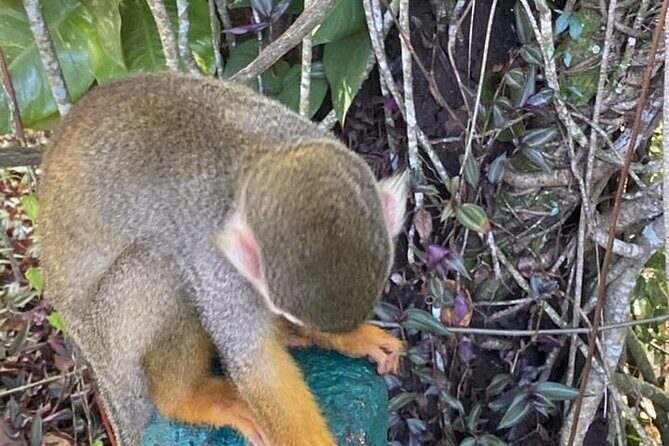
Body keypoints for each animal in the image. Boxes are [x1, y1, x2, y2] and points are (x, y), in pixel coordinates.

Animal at [37, 72, 408, 446]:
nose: (297, 322)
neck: (257, 156)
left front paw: (348, 338)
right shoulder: (214, 257)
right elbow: (254, 362)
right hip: (113, 340)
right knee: (162, 265)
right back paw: (184, 397)